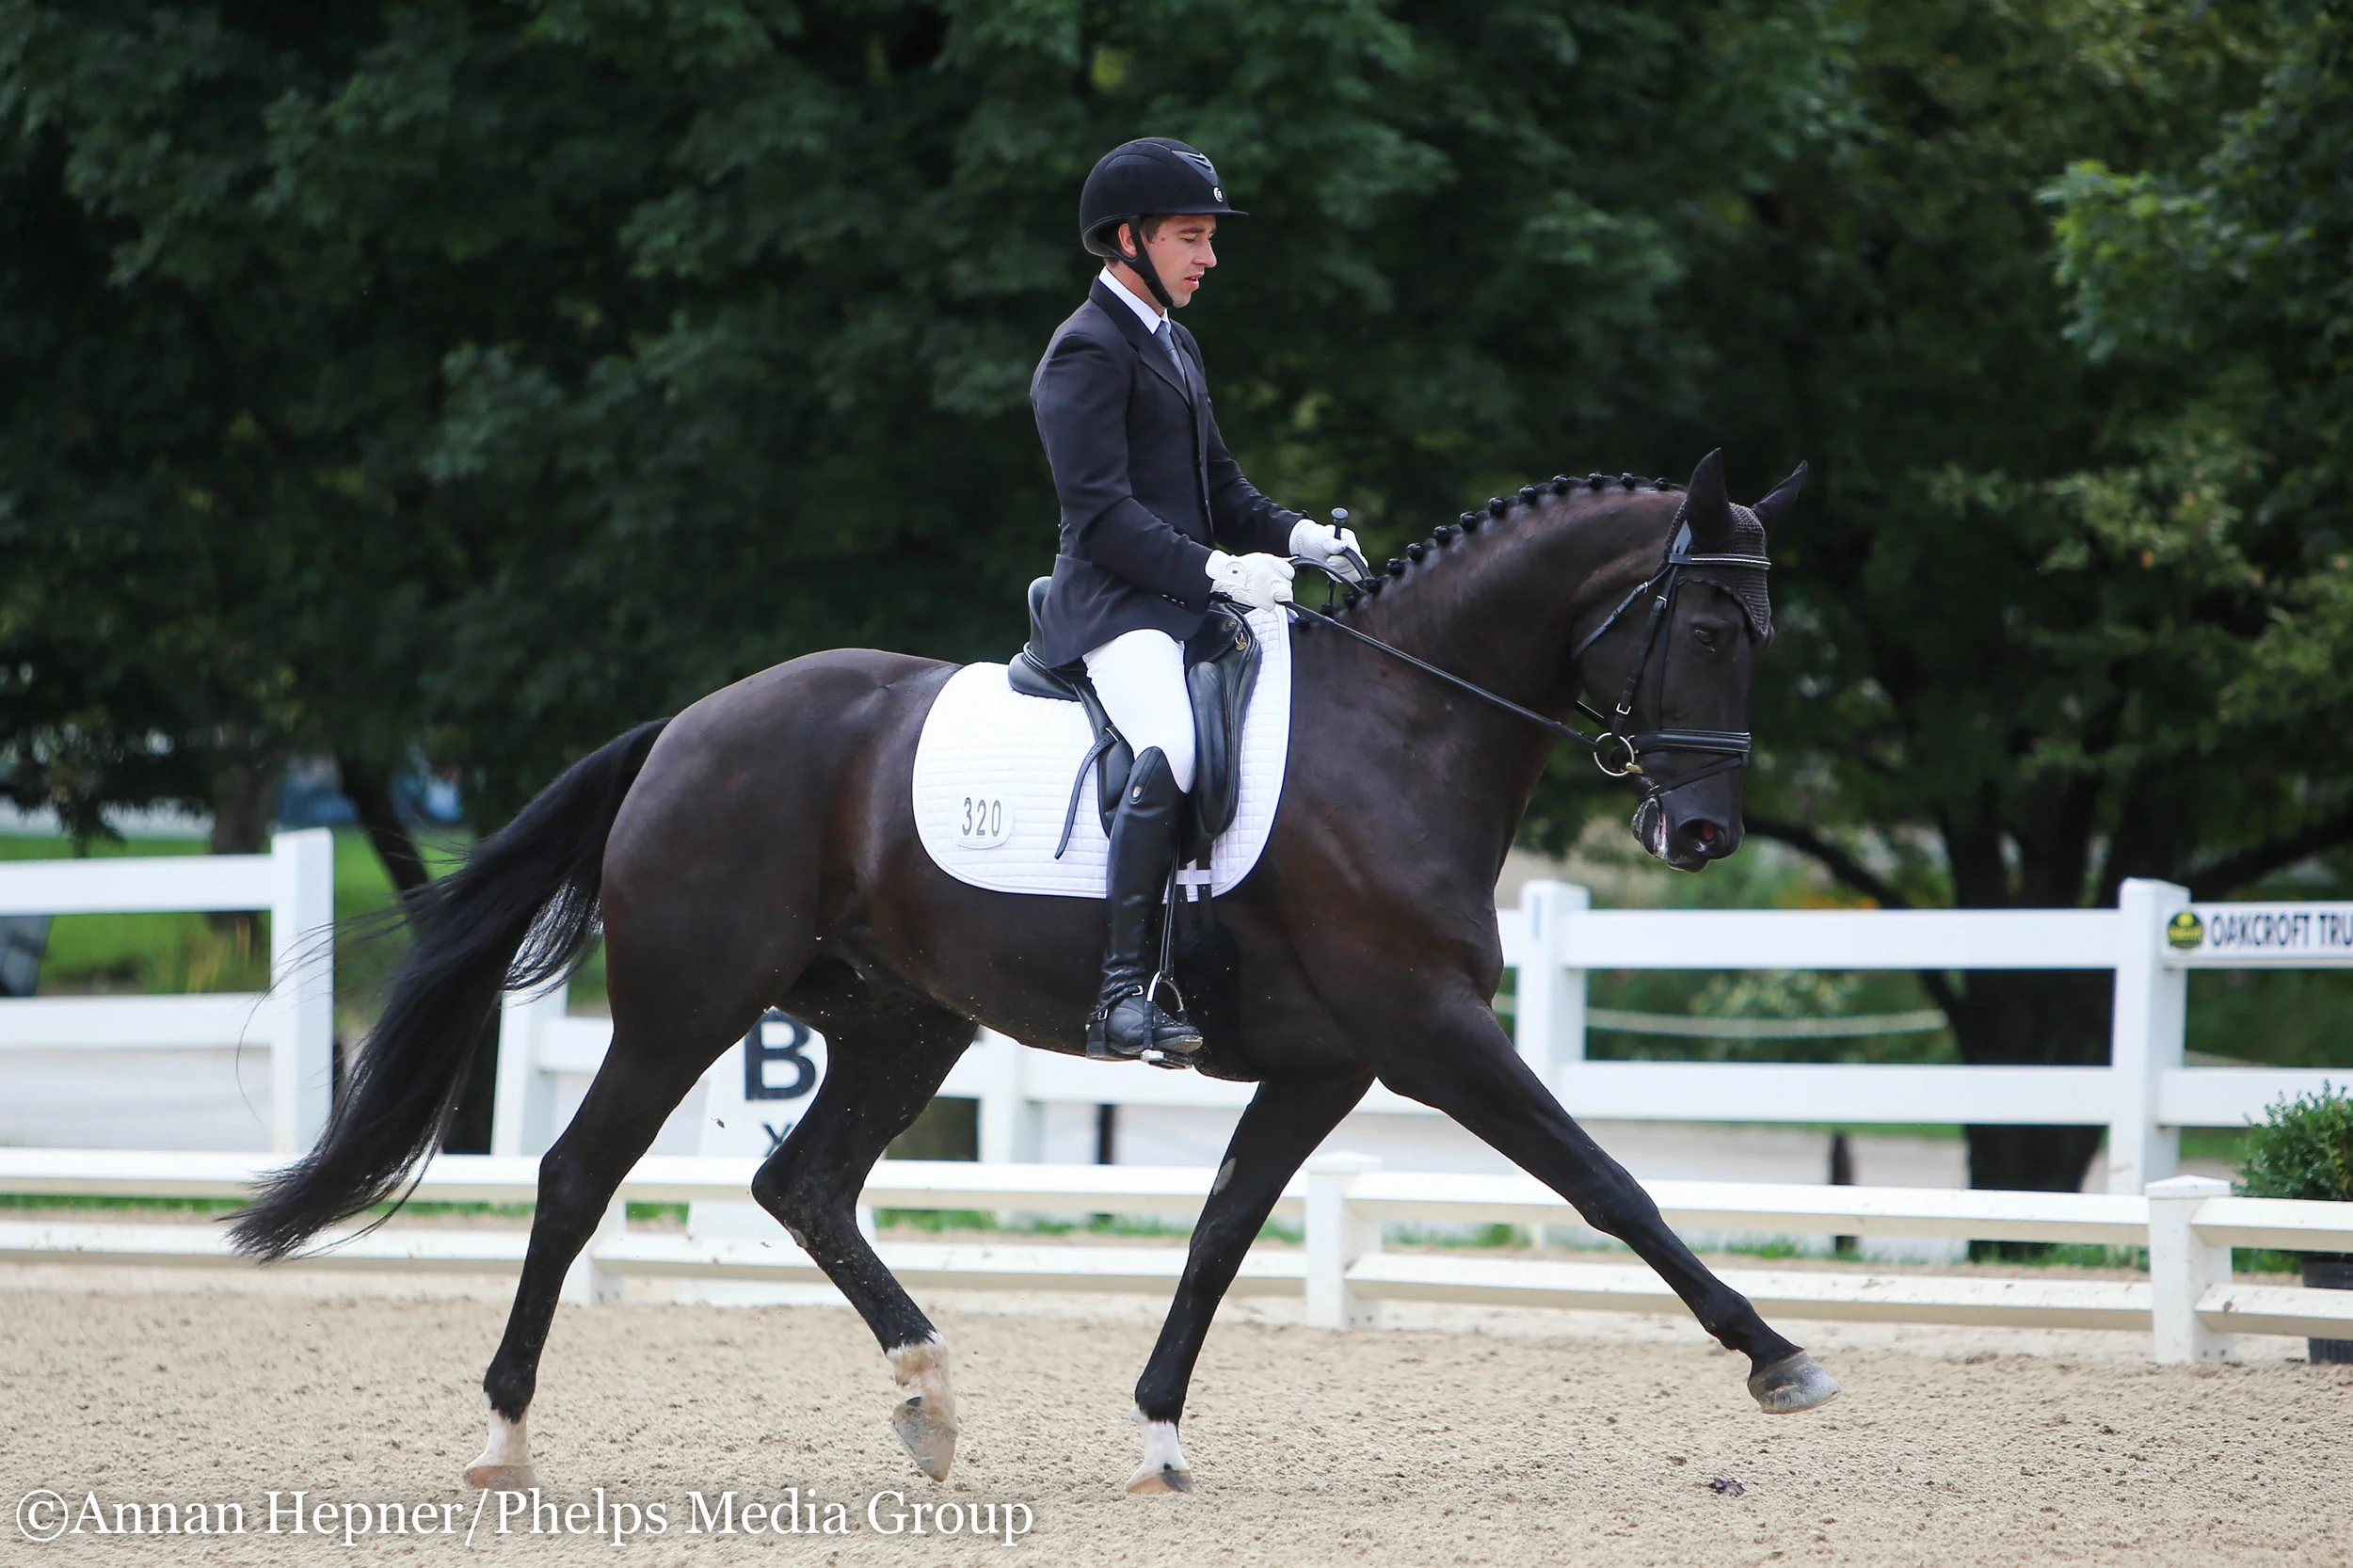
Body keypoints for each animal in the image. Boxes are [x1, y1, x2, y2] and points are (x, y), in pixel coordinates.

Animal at [230, 448, 1837, 1496]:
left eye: (1763, 632)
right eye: (1707, 626)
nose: (1697, 832)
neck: (1403, 729)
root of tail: (688, 723)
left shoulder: (1332, 1060)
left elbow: (1222, 1227)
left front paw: (1158, 1431)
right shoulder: (1431, 1033)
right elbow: (1607, 1182)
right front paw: (1777, 1357)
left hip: (903, 1020)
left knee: (802, 1184)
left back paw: (930, 1403)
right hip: (690, 1003)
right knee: (577, 1177)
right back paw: (503, 1435)